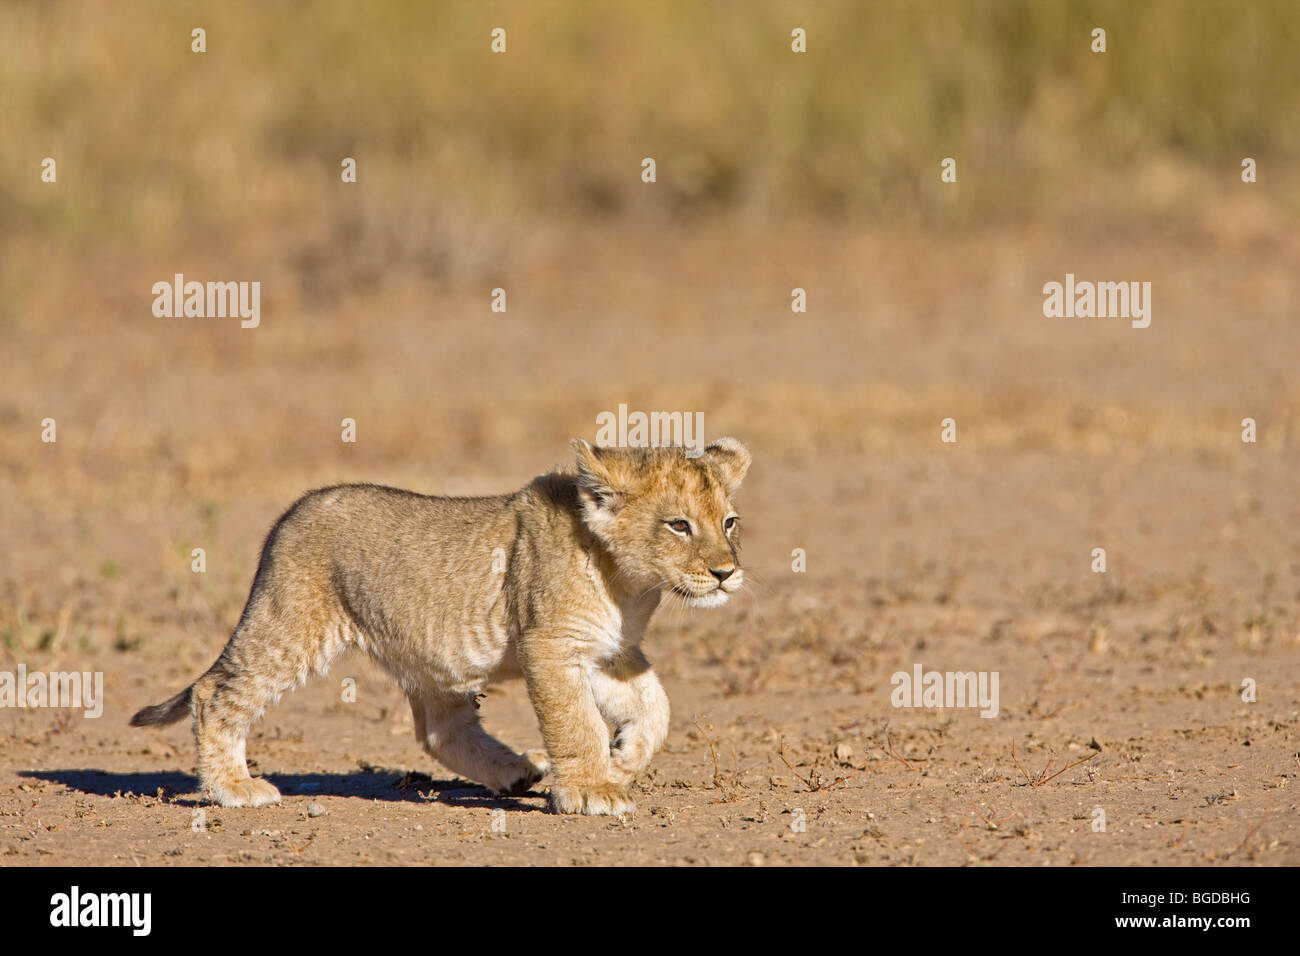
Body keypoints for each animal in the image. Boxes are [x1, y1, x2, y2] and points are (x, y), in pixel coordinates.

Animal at [131, 438, 750, 815]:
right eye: (678, 525)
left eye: (729, 522)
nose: (727, 573)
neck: (628, 585)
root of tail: (291, 514)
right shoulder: (551, 646)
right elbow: (576, 724)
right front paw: (593, 789)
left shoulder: (610, 652)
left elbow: (656, 706)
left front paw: (623, 759)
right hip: (291, 626)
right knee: (215, 691)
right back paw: (233, 788)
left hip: (432, 661)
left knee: (438, 731)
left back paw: (517, 770)